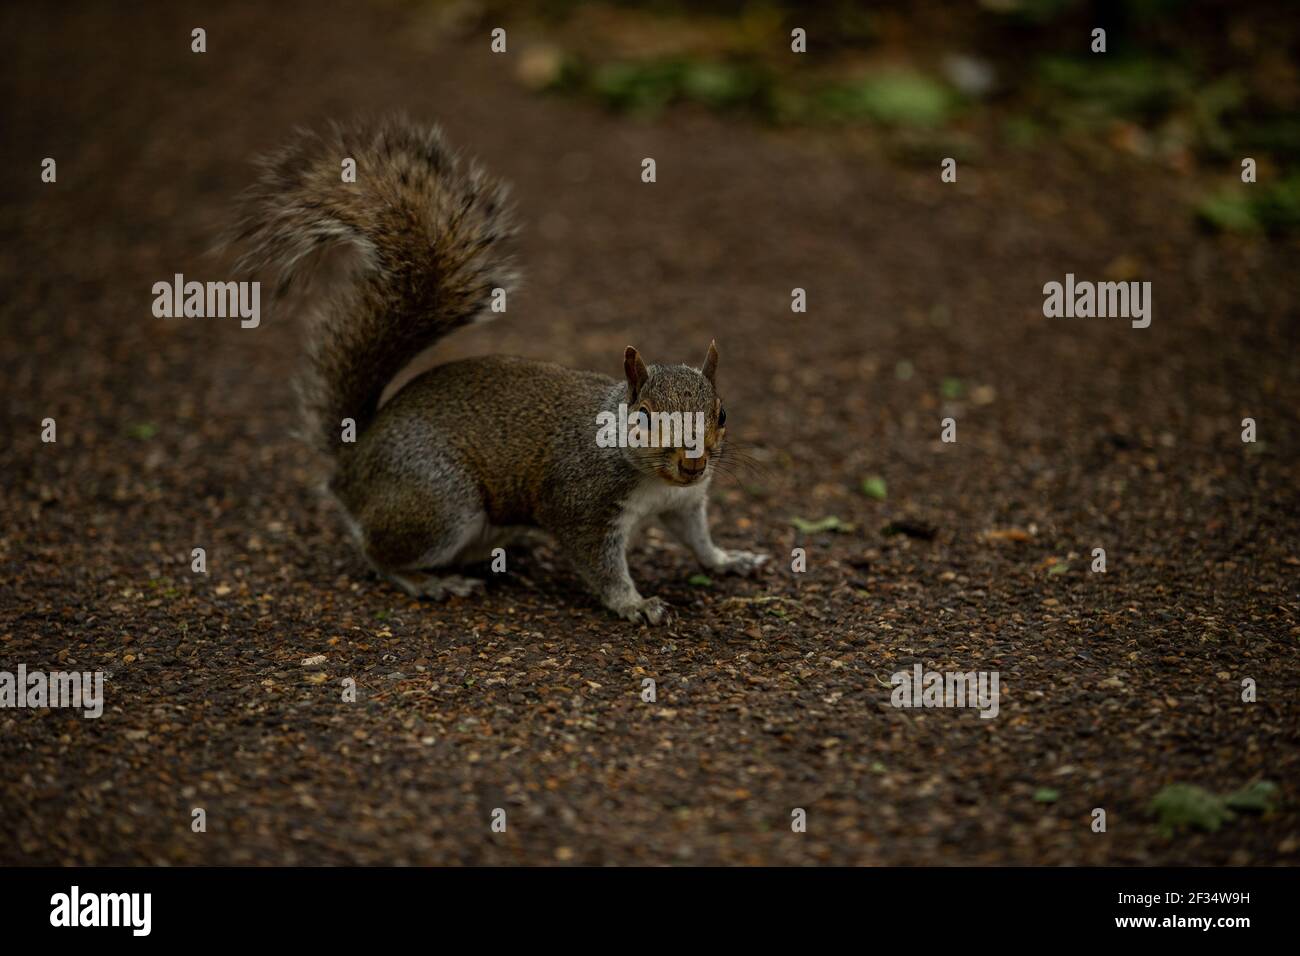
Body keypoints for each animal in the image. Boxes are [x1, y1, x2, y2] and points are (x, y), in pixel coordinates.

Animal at [229, 116, 768, 624]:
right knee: (376, 551)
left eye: (722, 414)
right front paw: (635, 604)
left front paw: (728, 559)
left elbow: (696, 538)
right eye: (644, 418)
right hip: (441, 500)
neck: (651, 479)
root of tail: (353, 460)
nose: (693, 464)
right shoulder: (580, 506)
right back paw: (428, 581)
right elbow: (601, 567)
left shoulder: (683, 503)